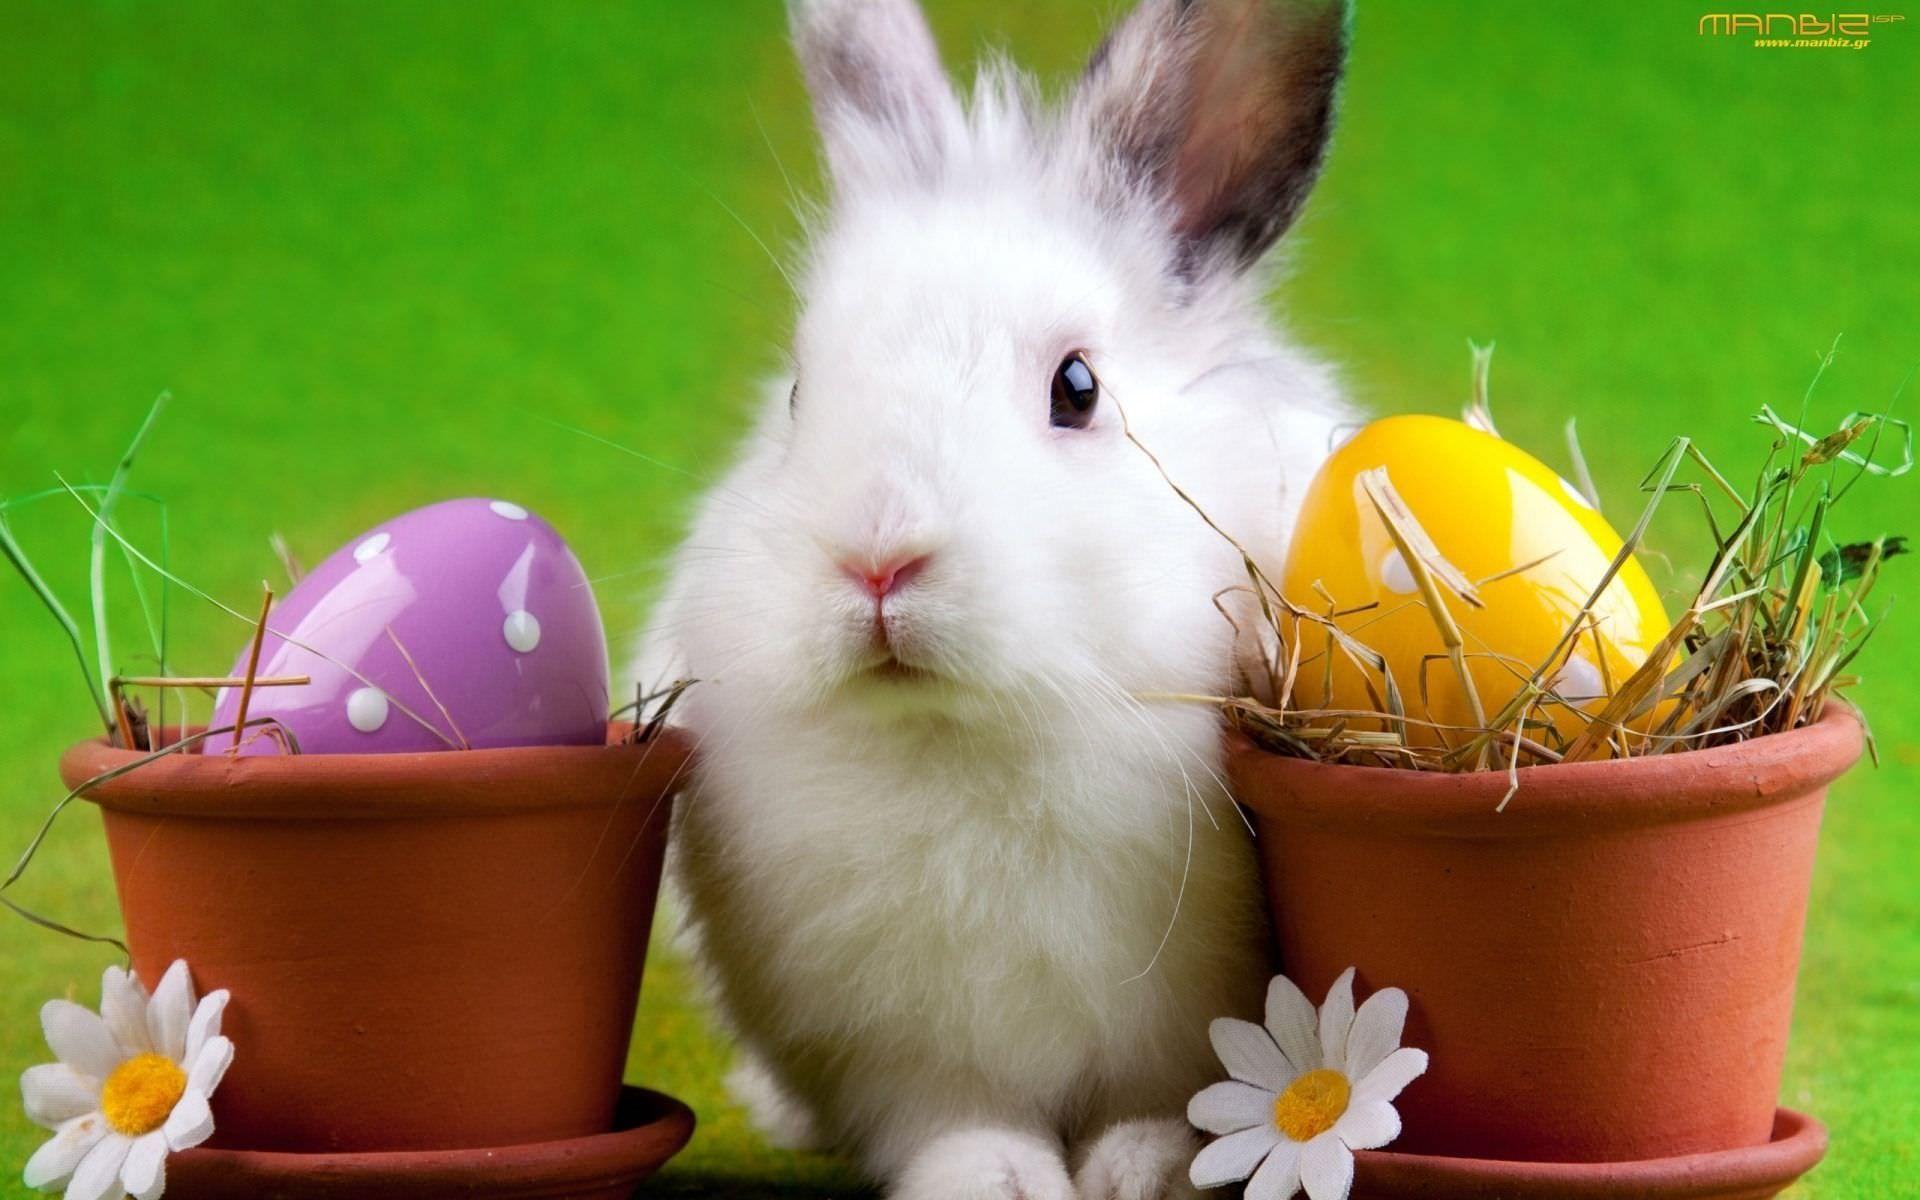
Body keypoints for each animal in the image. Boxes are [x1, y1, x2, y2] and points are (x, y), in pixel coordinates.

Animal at [637, 0, 1351, 1196]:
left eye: (1078, 387)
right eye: (798, 394)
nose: (878, 560)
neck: (975, 734)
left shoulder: (1184, 1022)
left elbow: (1166, 1097)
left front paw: (1144, 1168)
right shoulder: (895, 1050)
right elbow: (954, 1117)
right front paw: (995, 1179)